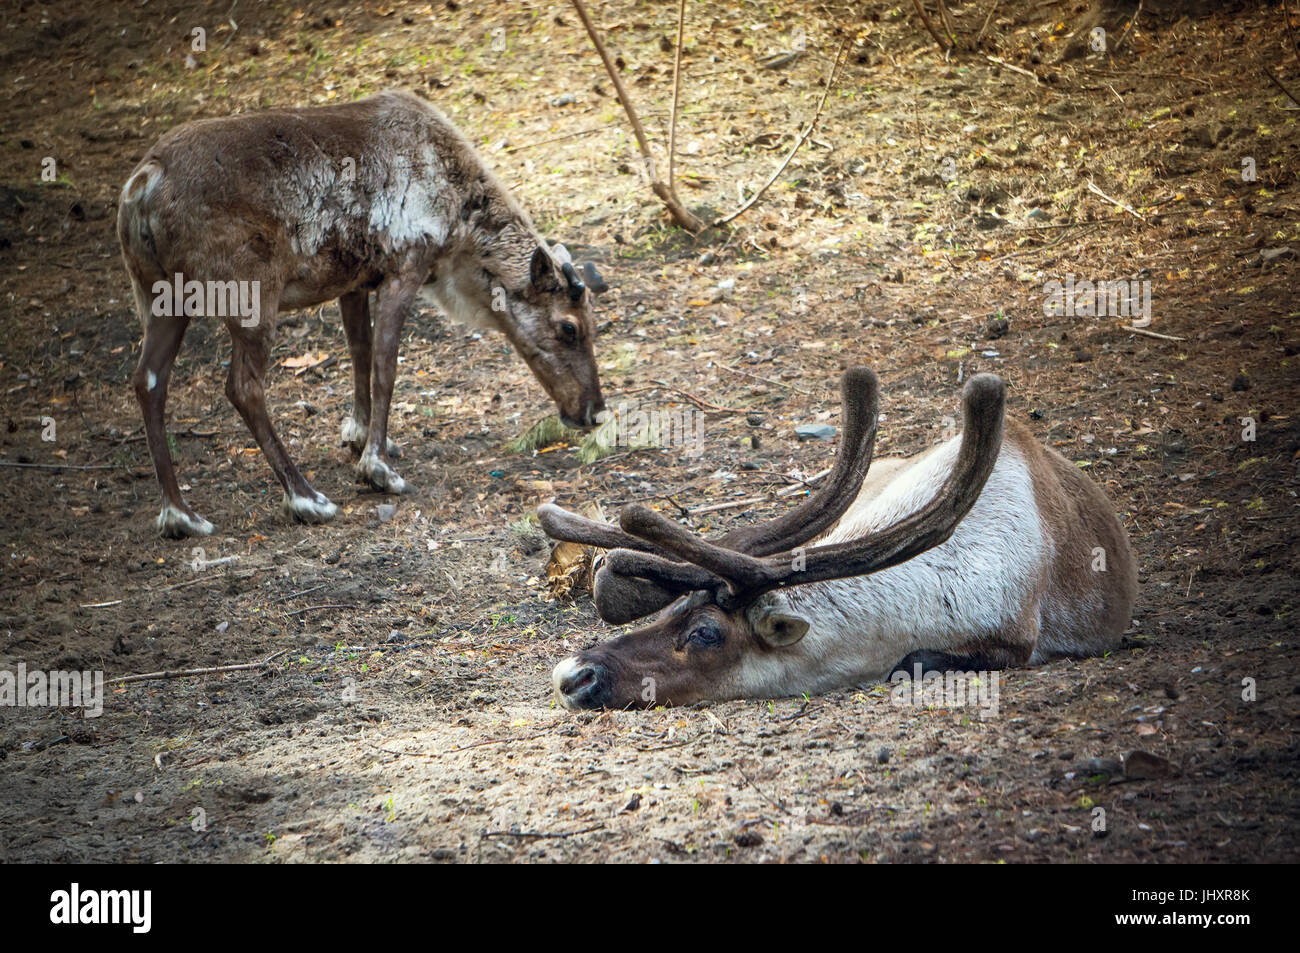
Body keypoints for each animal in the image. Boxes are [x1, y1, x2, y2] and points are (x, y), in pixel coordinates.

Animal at [117, 89, 606, 538]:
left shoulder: (352, 282)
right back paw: (305, 497)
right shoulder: (406, 266)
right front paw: (378, 469)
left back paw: (181, 515)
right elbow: (385, 366)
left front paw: (363, 436)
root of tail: (142, 184)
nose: (595, 413)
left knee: (148, 380)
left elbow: (359, 353)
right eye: (569, 327)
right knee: (243, 387)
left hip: (161, 295)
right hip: (249, 294)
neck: (461, 225)